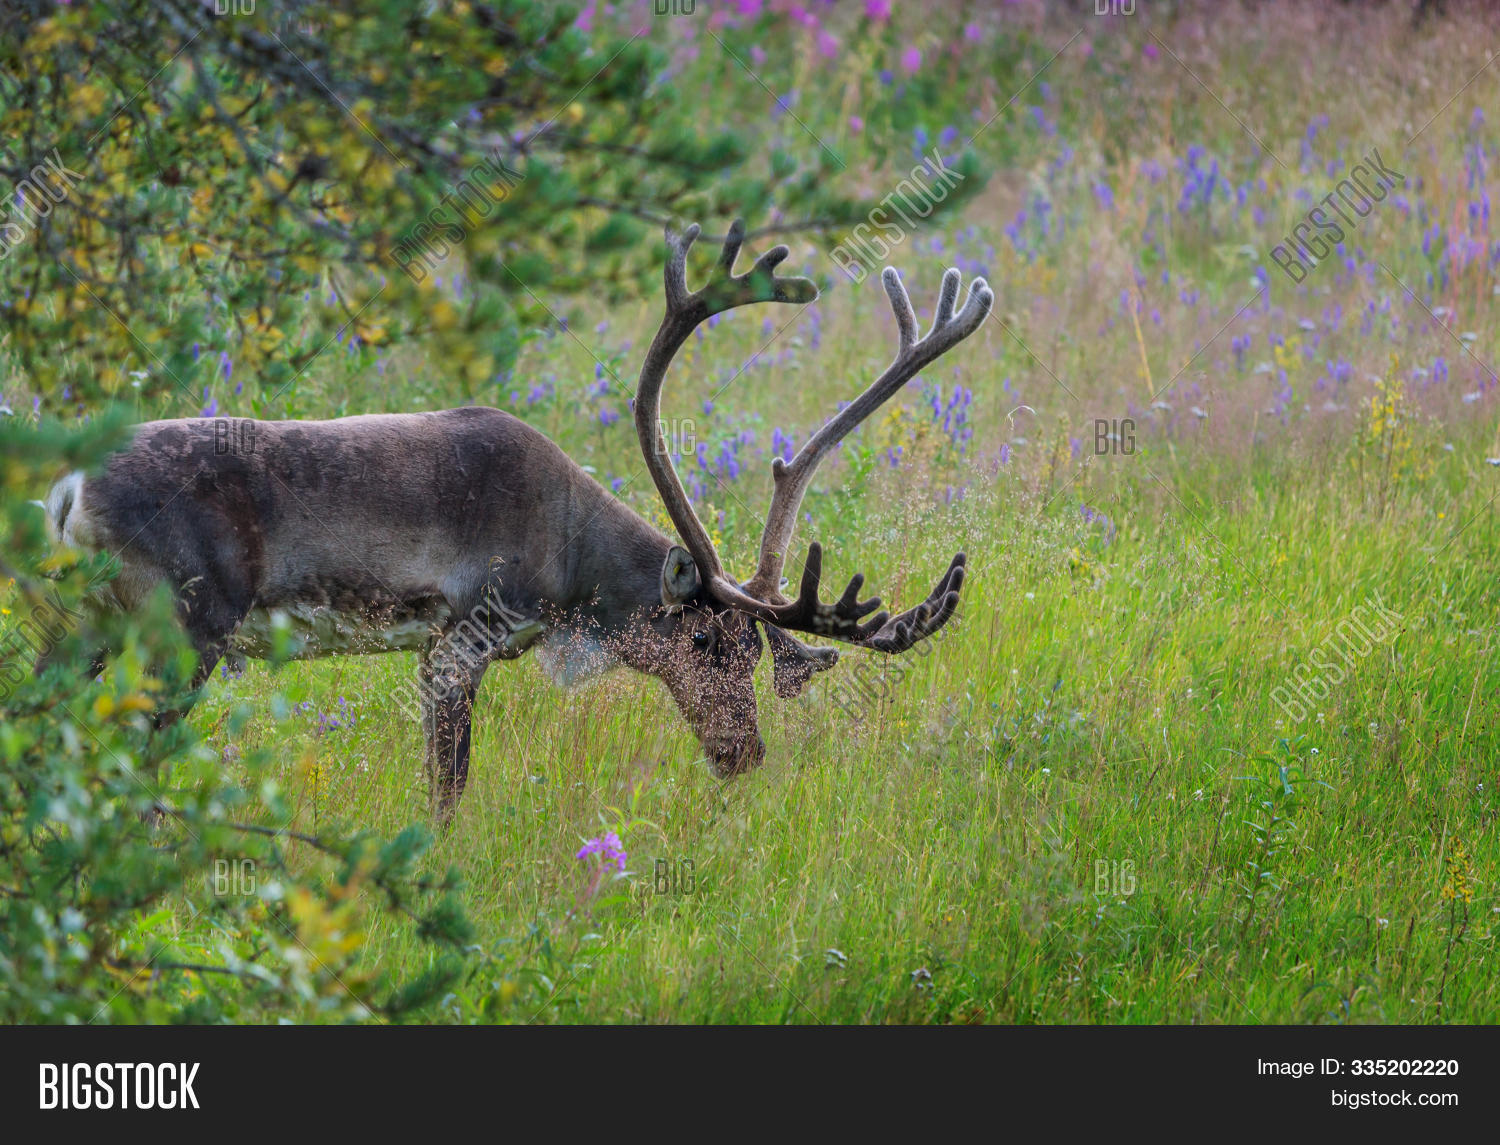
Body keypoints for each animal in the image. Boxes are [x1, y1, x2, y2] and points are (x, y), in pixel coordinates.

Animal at [41, 219, 992, 821]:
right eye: (699, 639)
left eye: (753, 652)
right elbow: (449, 789)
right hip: (177, 633)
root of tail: (65, 491)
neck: (570, 562)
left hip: (80, 627)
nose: (742, 754)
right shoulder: (460, 640)